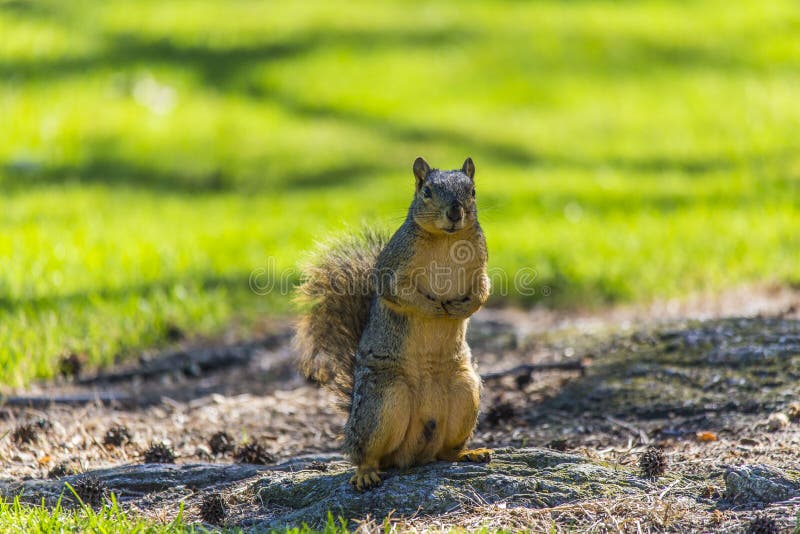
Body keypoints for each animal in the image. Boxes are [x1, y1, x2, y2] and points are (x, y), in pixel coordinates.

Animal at [294, 156, 492, 491]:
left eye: (473, 192)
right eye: (426, 192)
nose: (455, 212)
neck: (447, 238)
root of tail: (415, 455)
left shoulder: (480, 266)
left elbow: (483, 290)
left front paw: (462, 307)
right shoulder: (391, 266)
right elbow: (395, 291)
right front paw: (433, 307)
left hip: (465, 393)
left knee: (446, 452)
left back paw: (468, 453)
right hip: (384, 402)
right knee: (367, 453)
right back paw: (366, 473)